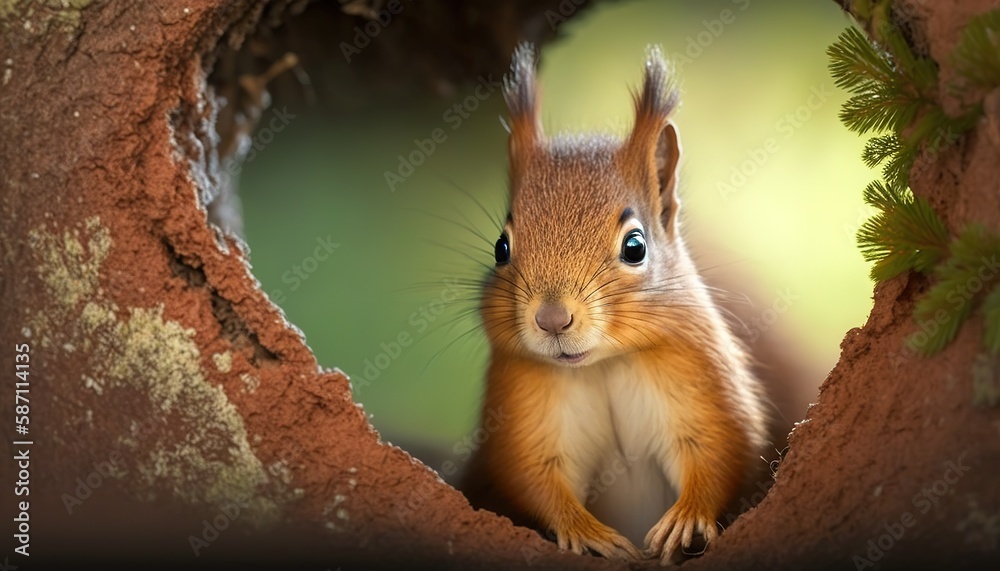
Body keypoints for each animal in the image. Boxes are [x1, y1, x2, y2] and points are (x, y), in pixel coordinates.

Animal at [459, 43, 770, 565]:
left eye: (635, 247)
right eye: (501, 249)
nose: (552, 319)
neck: (601, 365)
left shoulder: (702, 381)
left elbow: (717, 453)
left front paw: (686, 519)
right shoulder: (525, 408)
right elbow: (534, 478)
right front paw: (588, 532)